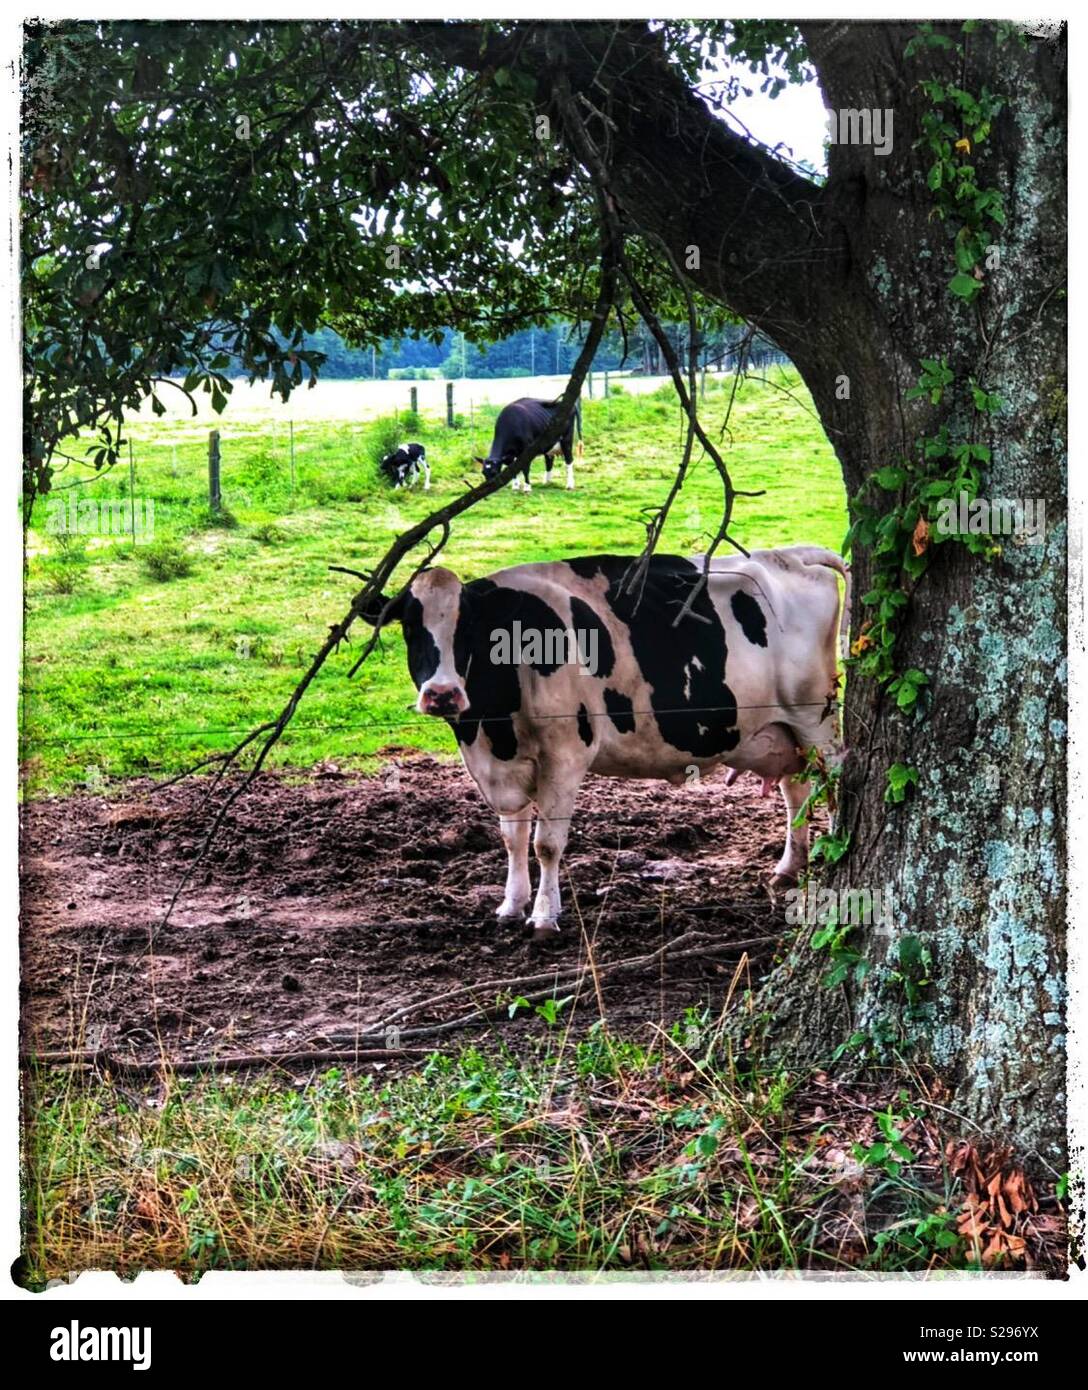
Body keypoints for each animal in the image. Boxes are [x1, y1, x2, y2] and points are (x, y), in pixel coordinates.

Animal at [362, 546, 849, 940]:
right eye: (409, 628)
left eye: (468, 631)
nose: (442, 694)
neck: (489, 727)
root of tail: (789, 555)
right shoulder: (502, 764)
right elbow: (512, 838)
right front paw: (511, 905)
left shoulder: (565, 753)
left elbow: (546, 843)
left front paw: (544, 918)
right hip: (782, 731)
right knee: (796, 790)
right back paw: (788, 868)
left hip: (816, 720)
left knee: (839, 783)